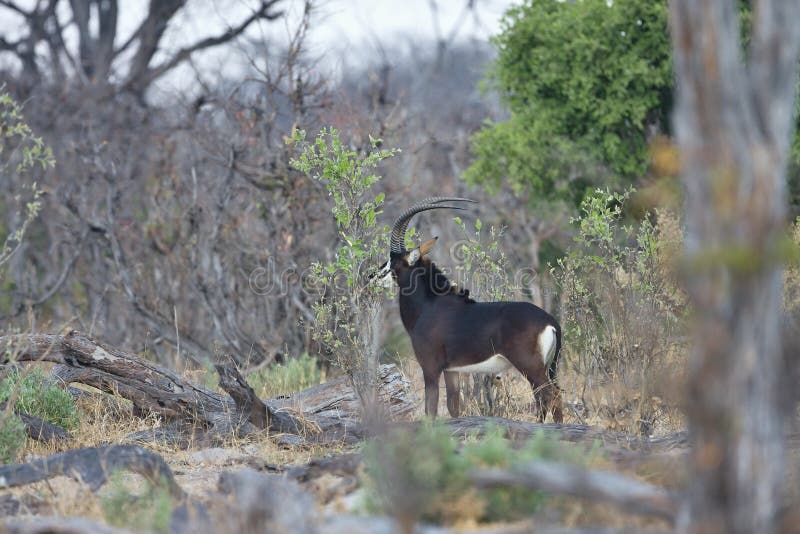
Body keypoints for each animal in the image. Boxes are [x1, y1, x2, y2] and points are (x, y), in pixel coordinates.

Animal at [375, 197, 563, 423]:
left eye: (392, 261)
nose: (372, 276)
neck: (429, 306)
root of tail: (550, 322)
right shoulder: (452, 370)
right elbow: (454, 406)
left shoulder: (430, 367)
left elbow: (431, 409)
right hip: (548, 367)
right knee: (549, 396)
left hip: (530, 365)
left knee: (550, 395)